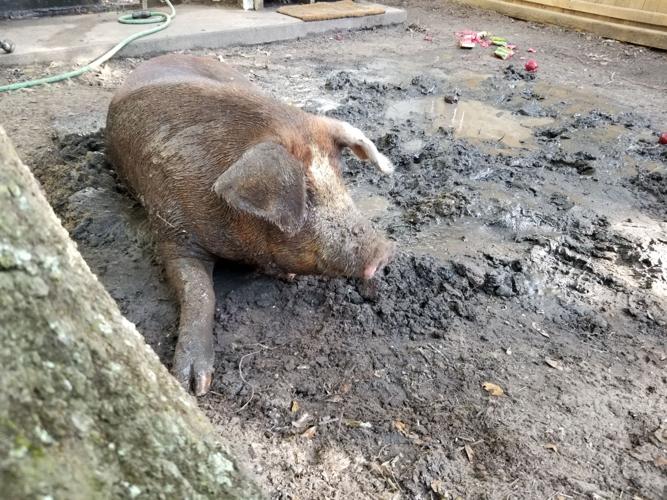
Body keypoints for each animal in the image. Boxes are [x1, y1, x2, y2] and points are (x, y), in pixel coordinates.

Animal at [106, 54, 394, 396]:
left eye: (341, 182)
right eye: (307, 195)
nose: (384, 251)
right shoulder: (173, 233)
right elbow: (200, 292)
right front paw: (194, 385)